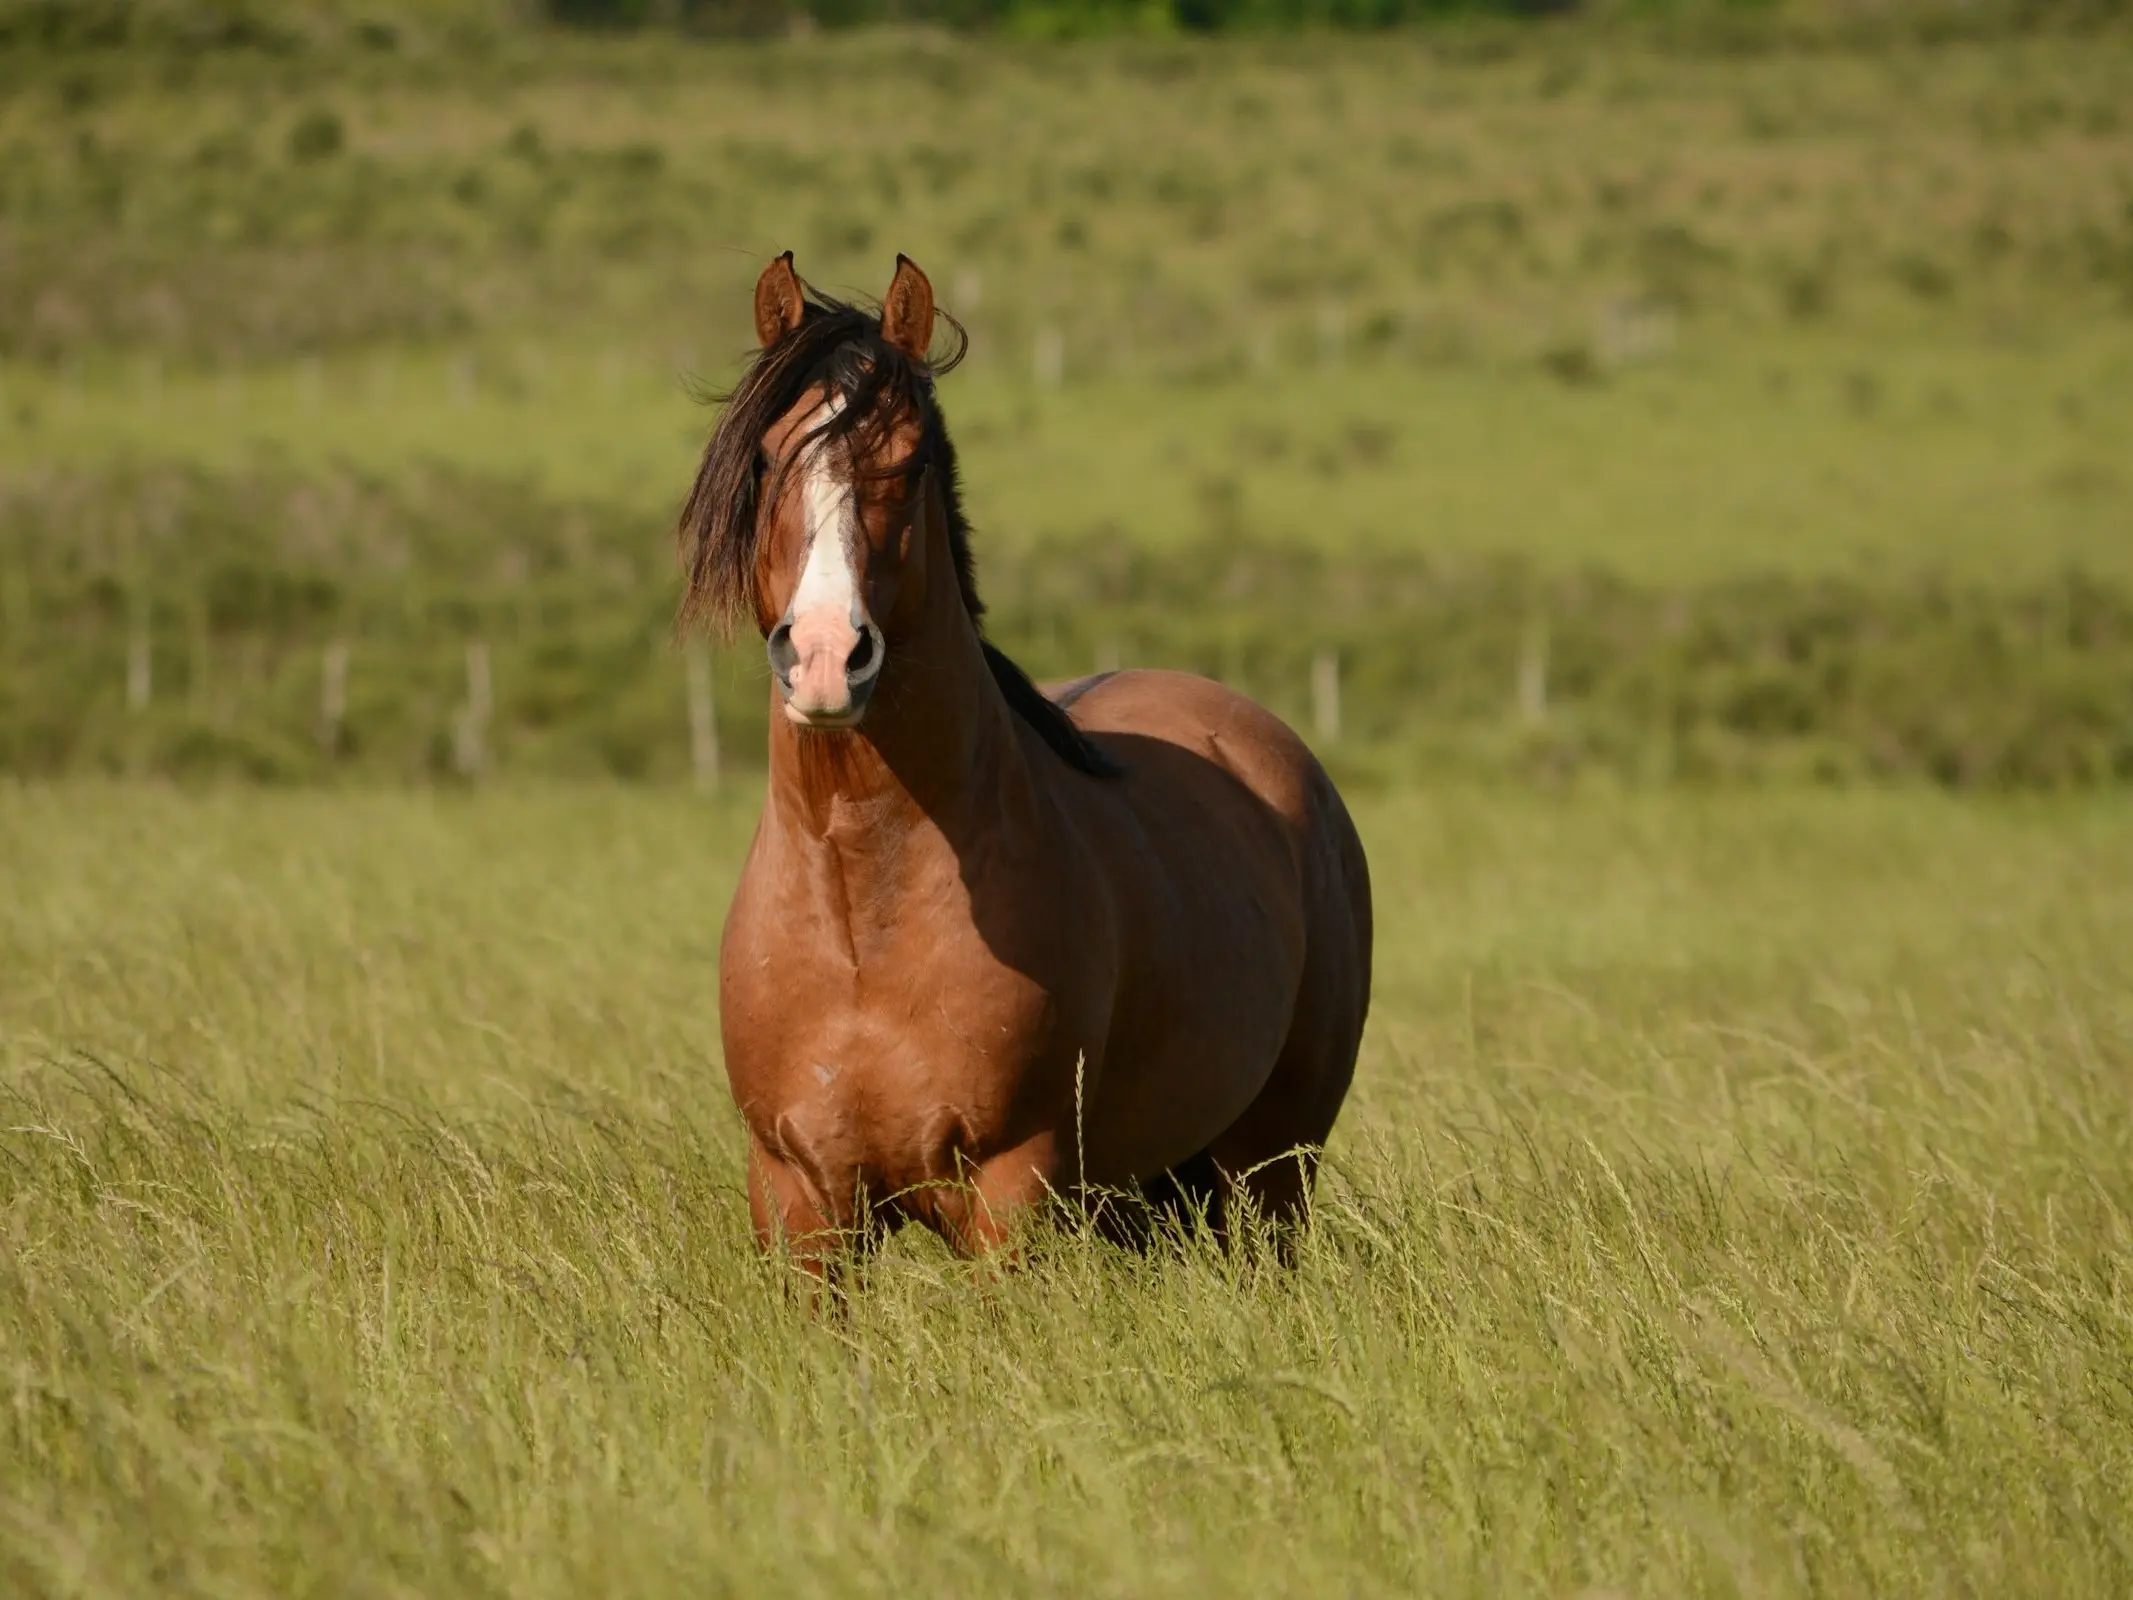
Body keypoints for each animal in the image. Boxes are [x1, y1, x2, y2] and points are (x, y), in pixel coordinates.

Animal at [677, 251, 1372, 1276]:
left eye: (912, 461)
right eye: (766, 460)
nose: (826, 655)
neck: (861, 922)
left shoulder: (1012, 1194)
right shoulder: (798, 1203)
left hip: (1269, 1174)